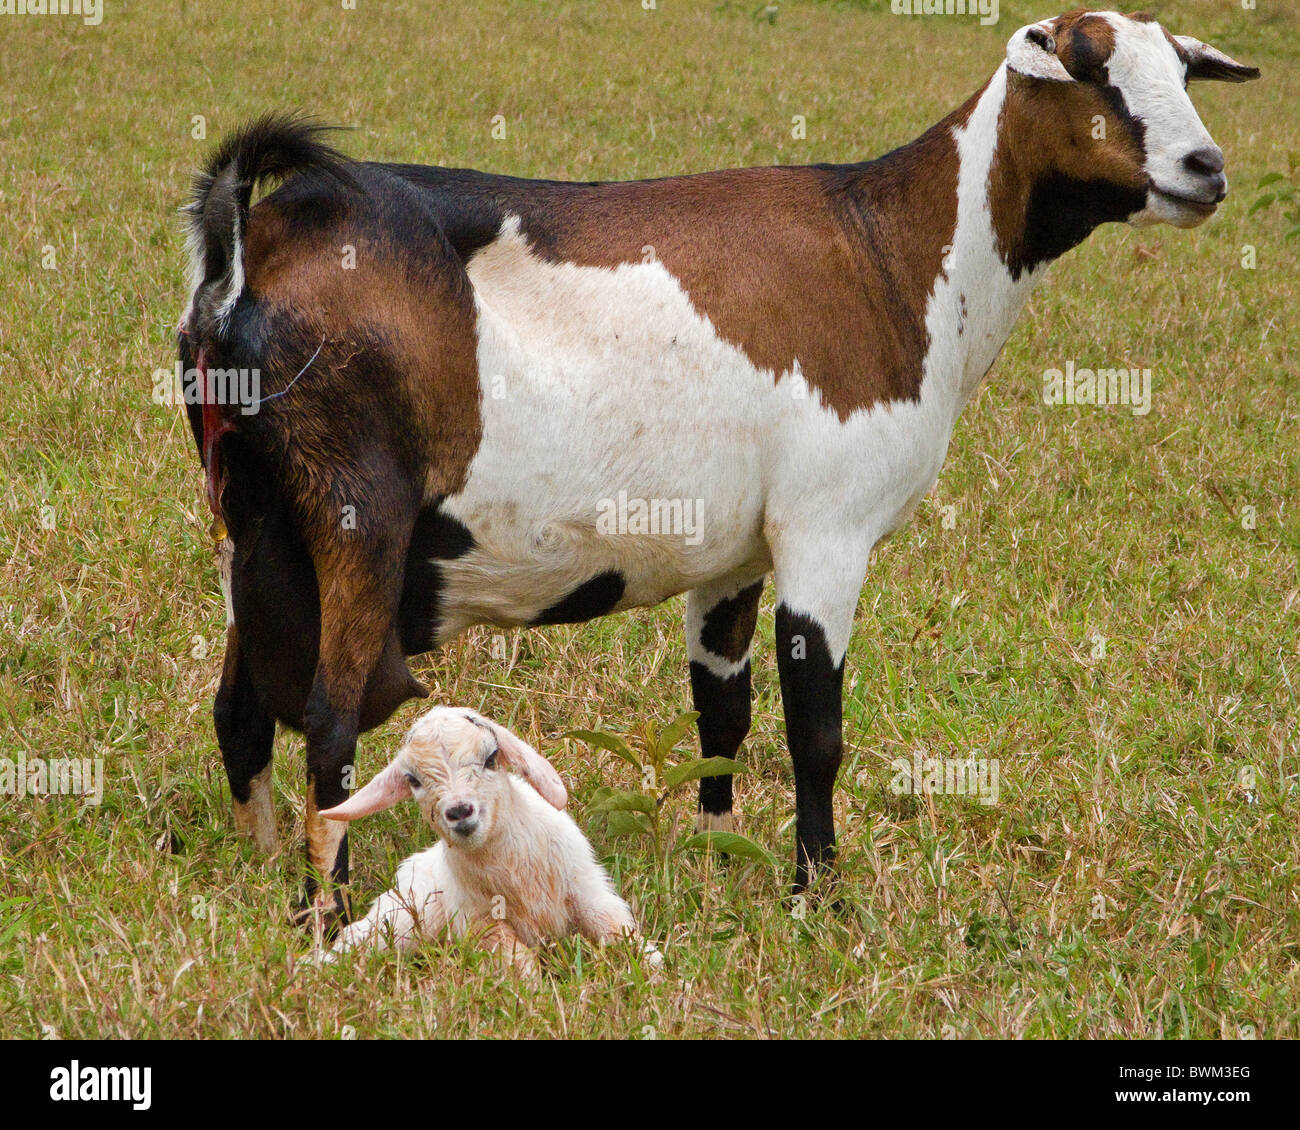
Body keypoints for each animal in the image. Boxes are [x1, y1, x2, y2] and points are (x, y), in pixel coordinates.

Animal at [177, 11, 1258, 919]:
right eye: (1094, 70)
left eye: (1183, 70)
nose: (1205, 167)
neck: (894, 254)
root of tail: (253, 246)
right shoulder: (825, 530)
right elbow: (815, 729)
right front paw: (816, 896)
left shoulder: (735, 550)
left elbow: (722, 712)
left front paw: (718, 852)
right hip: (355, 517)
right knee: (328, 715)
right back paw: (324, 905)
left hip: (253, 527)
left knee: (241, 707)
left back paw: (263, 860)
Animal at [312, 707, 656, 976]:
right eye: (413, 780)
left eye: (491, 758)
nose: (459, 811)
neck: (510, 865)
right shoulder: (481, 922)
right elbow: (519, 963)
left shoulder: (588, 890)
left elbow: (616, 929)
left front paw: (650, 965)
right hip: (395, 923)